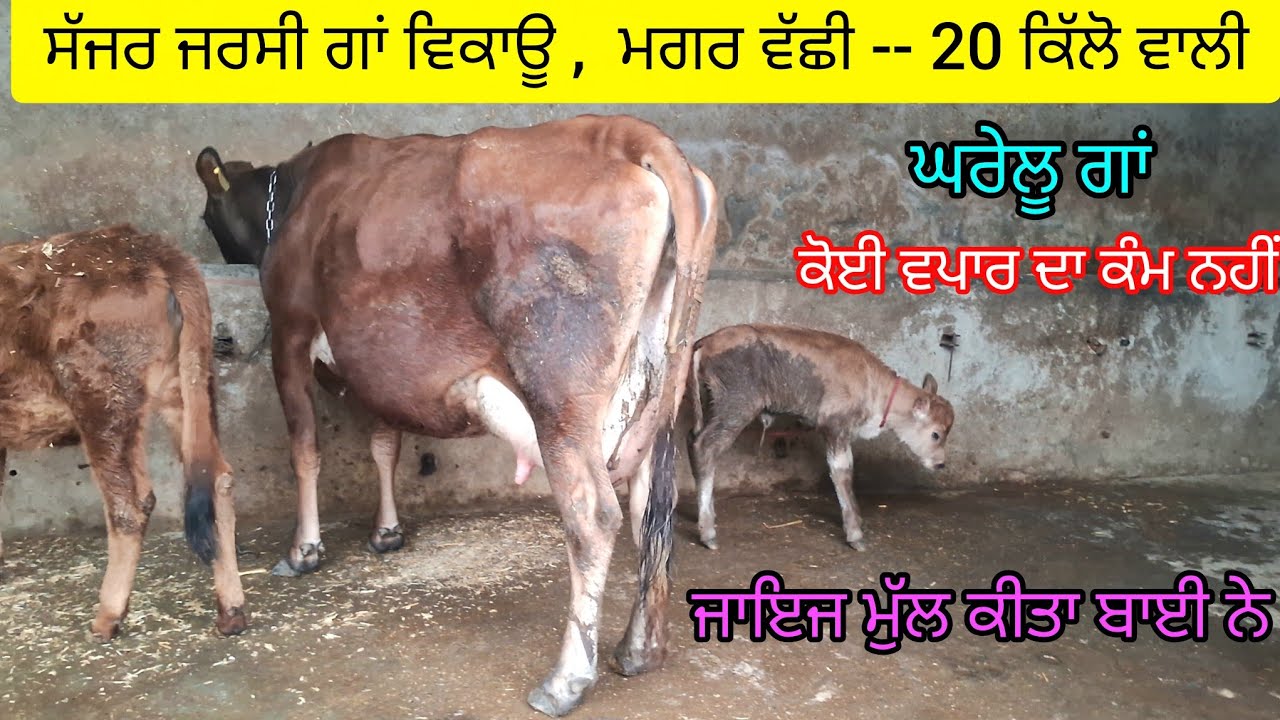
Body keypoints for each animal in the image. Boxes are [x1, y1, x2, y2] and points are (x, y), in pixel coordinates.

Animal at [0, 225, 248, 639]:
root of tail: (145, 245)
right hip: (185, 391)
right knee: (216, 481)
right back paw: (231, 612)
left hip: (100, 399)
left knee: (128, 505)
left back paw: (107, 617)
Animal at [193, 114, 719, 716]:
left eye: (205, 214)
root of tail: (625, 132)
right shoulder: (381, 367)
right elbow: (384, 446)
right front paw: (387, 532)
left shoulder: (289, 332)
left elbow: (305, 448)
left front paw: (304, 550)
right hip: (654, 390)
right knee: (649, 509)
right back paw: (639, 648)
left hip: (559, 387)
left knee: (593, 515)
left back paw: (566, 680)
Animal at [686, 323, 955, 551]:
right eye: (935, 434)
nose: (941, 463)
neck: (872, 384)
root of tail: (707, 342)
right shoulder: (835, 427)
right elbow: (842, 473)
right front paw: (855, 534)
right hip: (736, 405)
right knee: (706, 446)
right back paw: (708, 533)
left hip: (713, 404)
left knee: (693, 439)